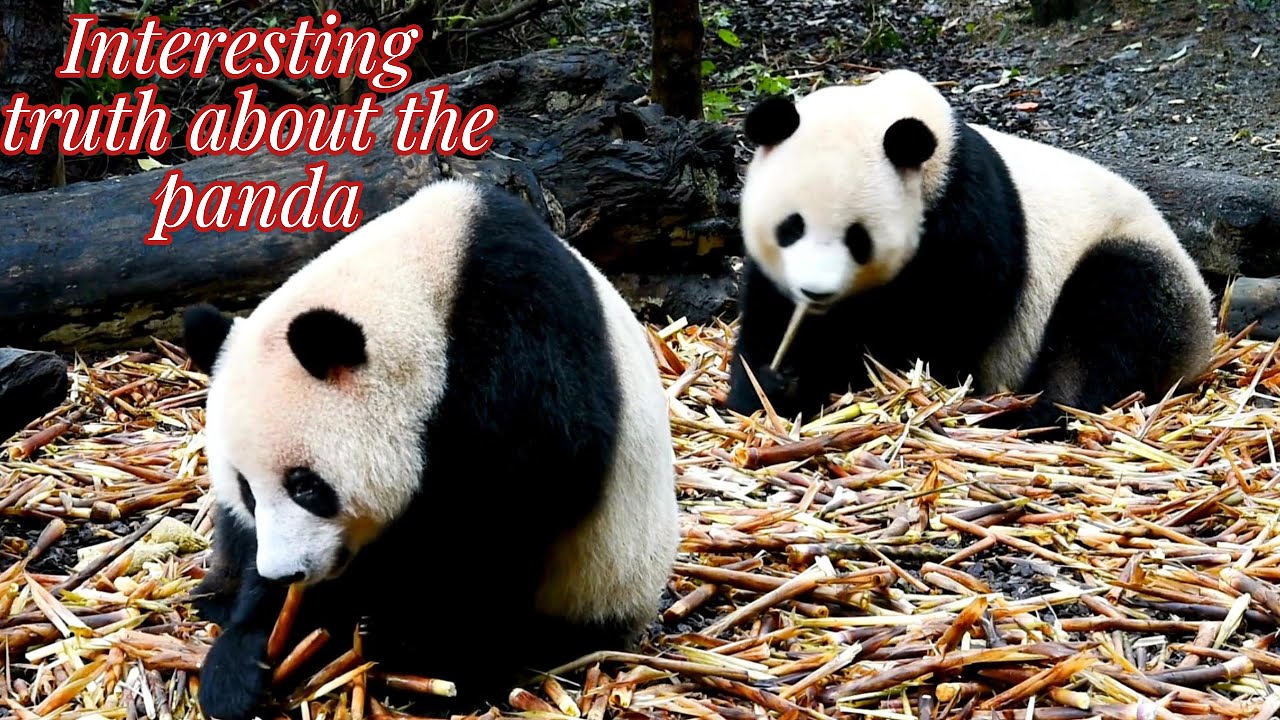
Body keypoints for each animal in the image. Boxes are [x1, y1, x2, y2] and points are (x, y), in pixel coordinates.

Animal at [182, 178, 681, 720]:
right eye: (247, 491)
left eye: (306, 486)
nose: (286, 570)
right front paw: (244, 656)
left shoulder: (524, 350)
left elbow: (492, 518)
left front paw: (397, 638)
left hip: (604, 572)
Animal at [723, 69, 1216, 434]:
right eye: (791, 227)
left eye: (857, 238)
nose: (815, 292)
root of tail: (1202, 345)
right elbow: (769, 317)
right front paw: (770, 388)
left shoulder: (963, 217)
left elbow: (935, 325)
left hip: (1137, 261)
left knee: (1109, 326)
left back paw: (1031, 417)